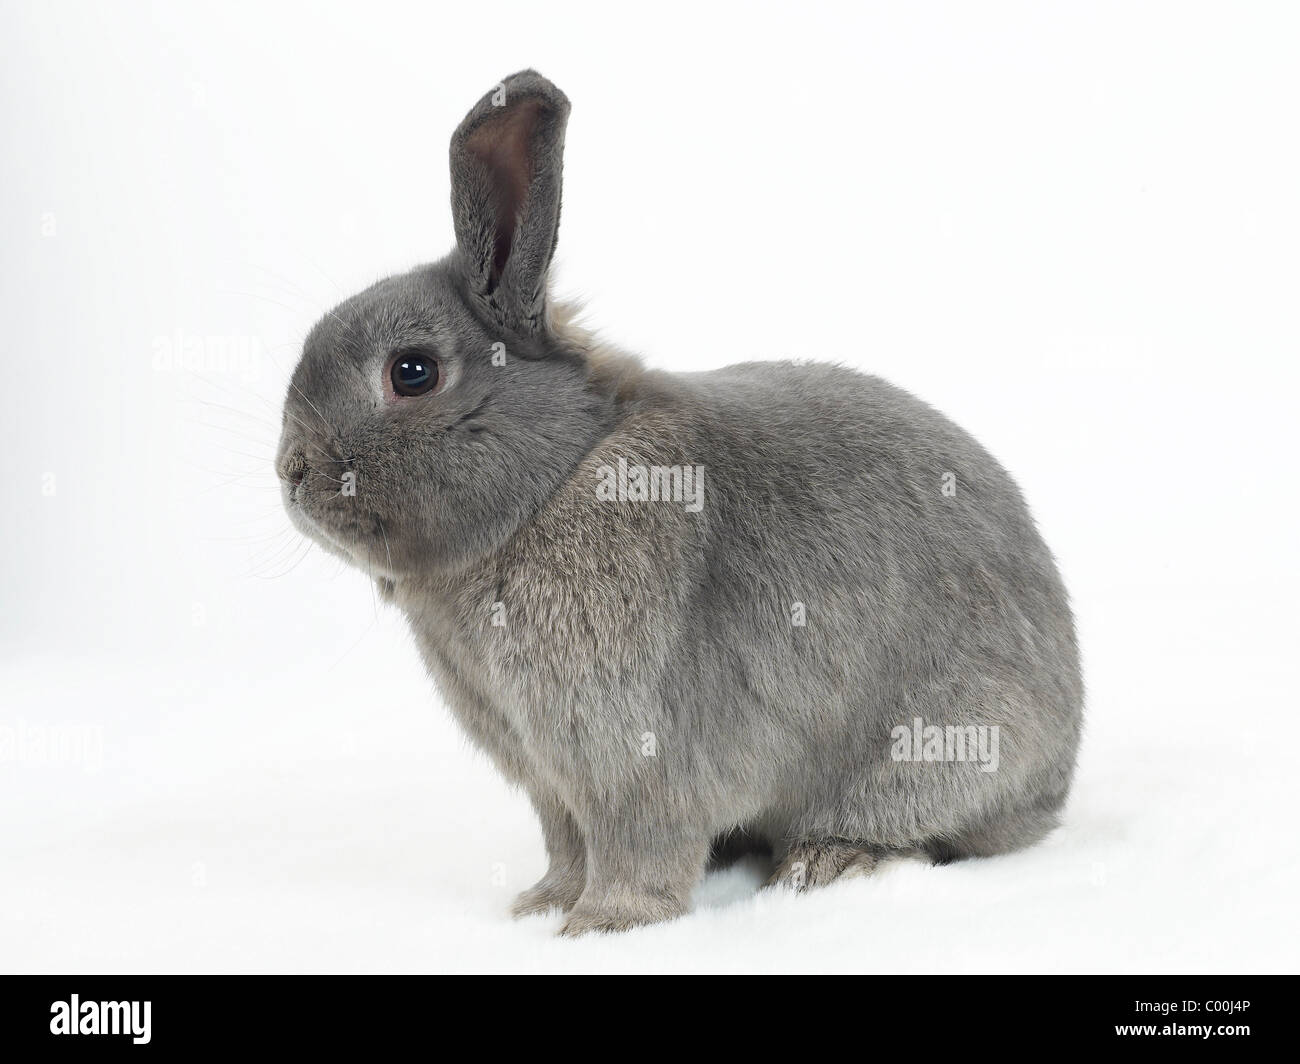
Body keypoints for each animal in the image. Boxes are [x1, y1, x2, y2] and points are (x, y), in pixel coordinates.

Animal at [275, 69, 1083, 936]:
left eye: (413, 372)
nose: (290, 471)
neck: (561, 473)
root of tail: (1060, 760)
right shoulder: (550, 783)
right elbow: (566, 847)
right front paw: (539, 907)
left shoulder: (632, 763)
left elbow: (638, 845)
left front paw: (600, 925)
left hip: (938, 744)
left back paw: (827, 862)